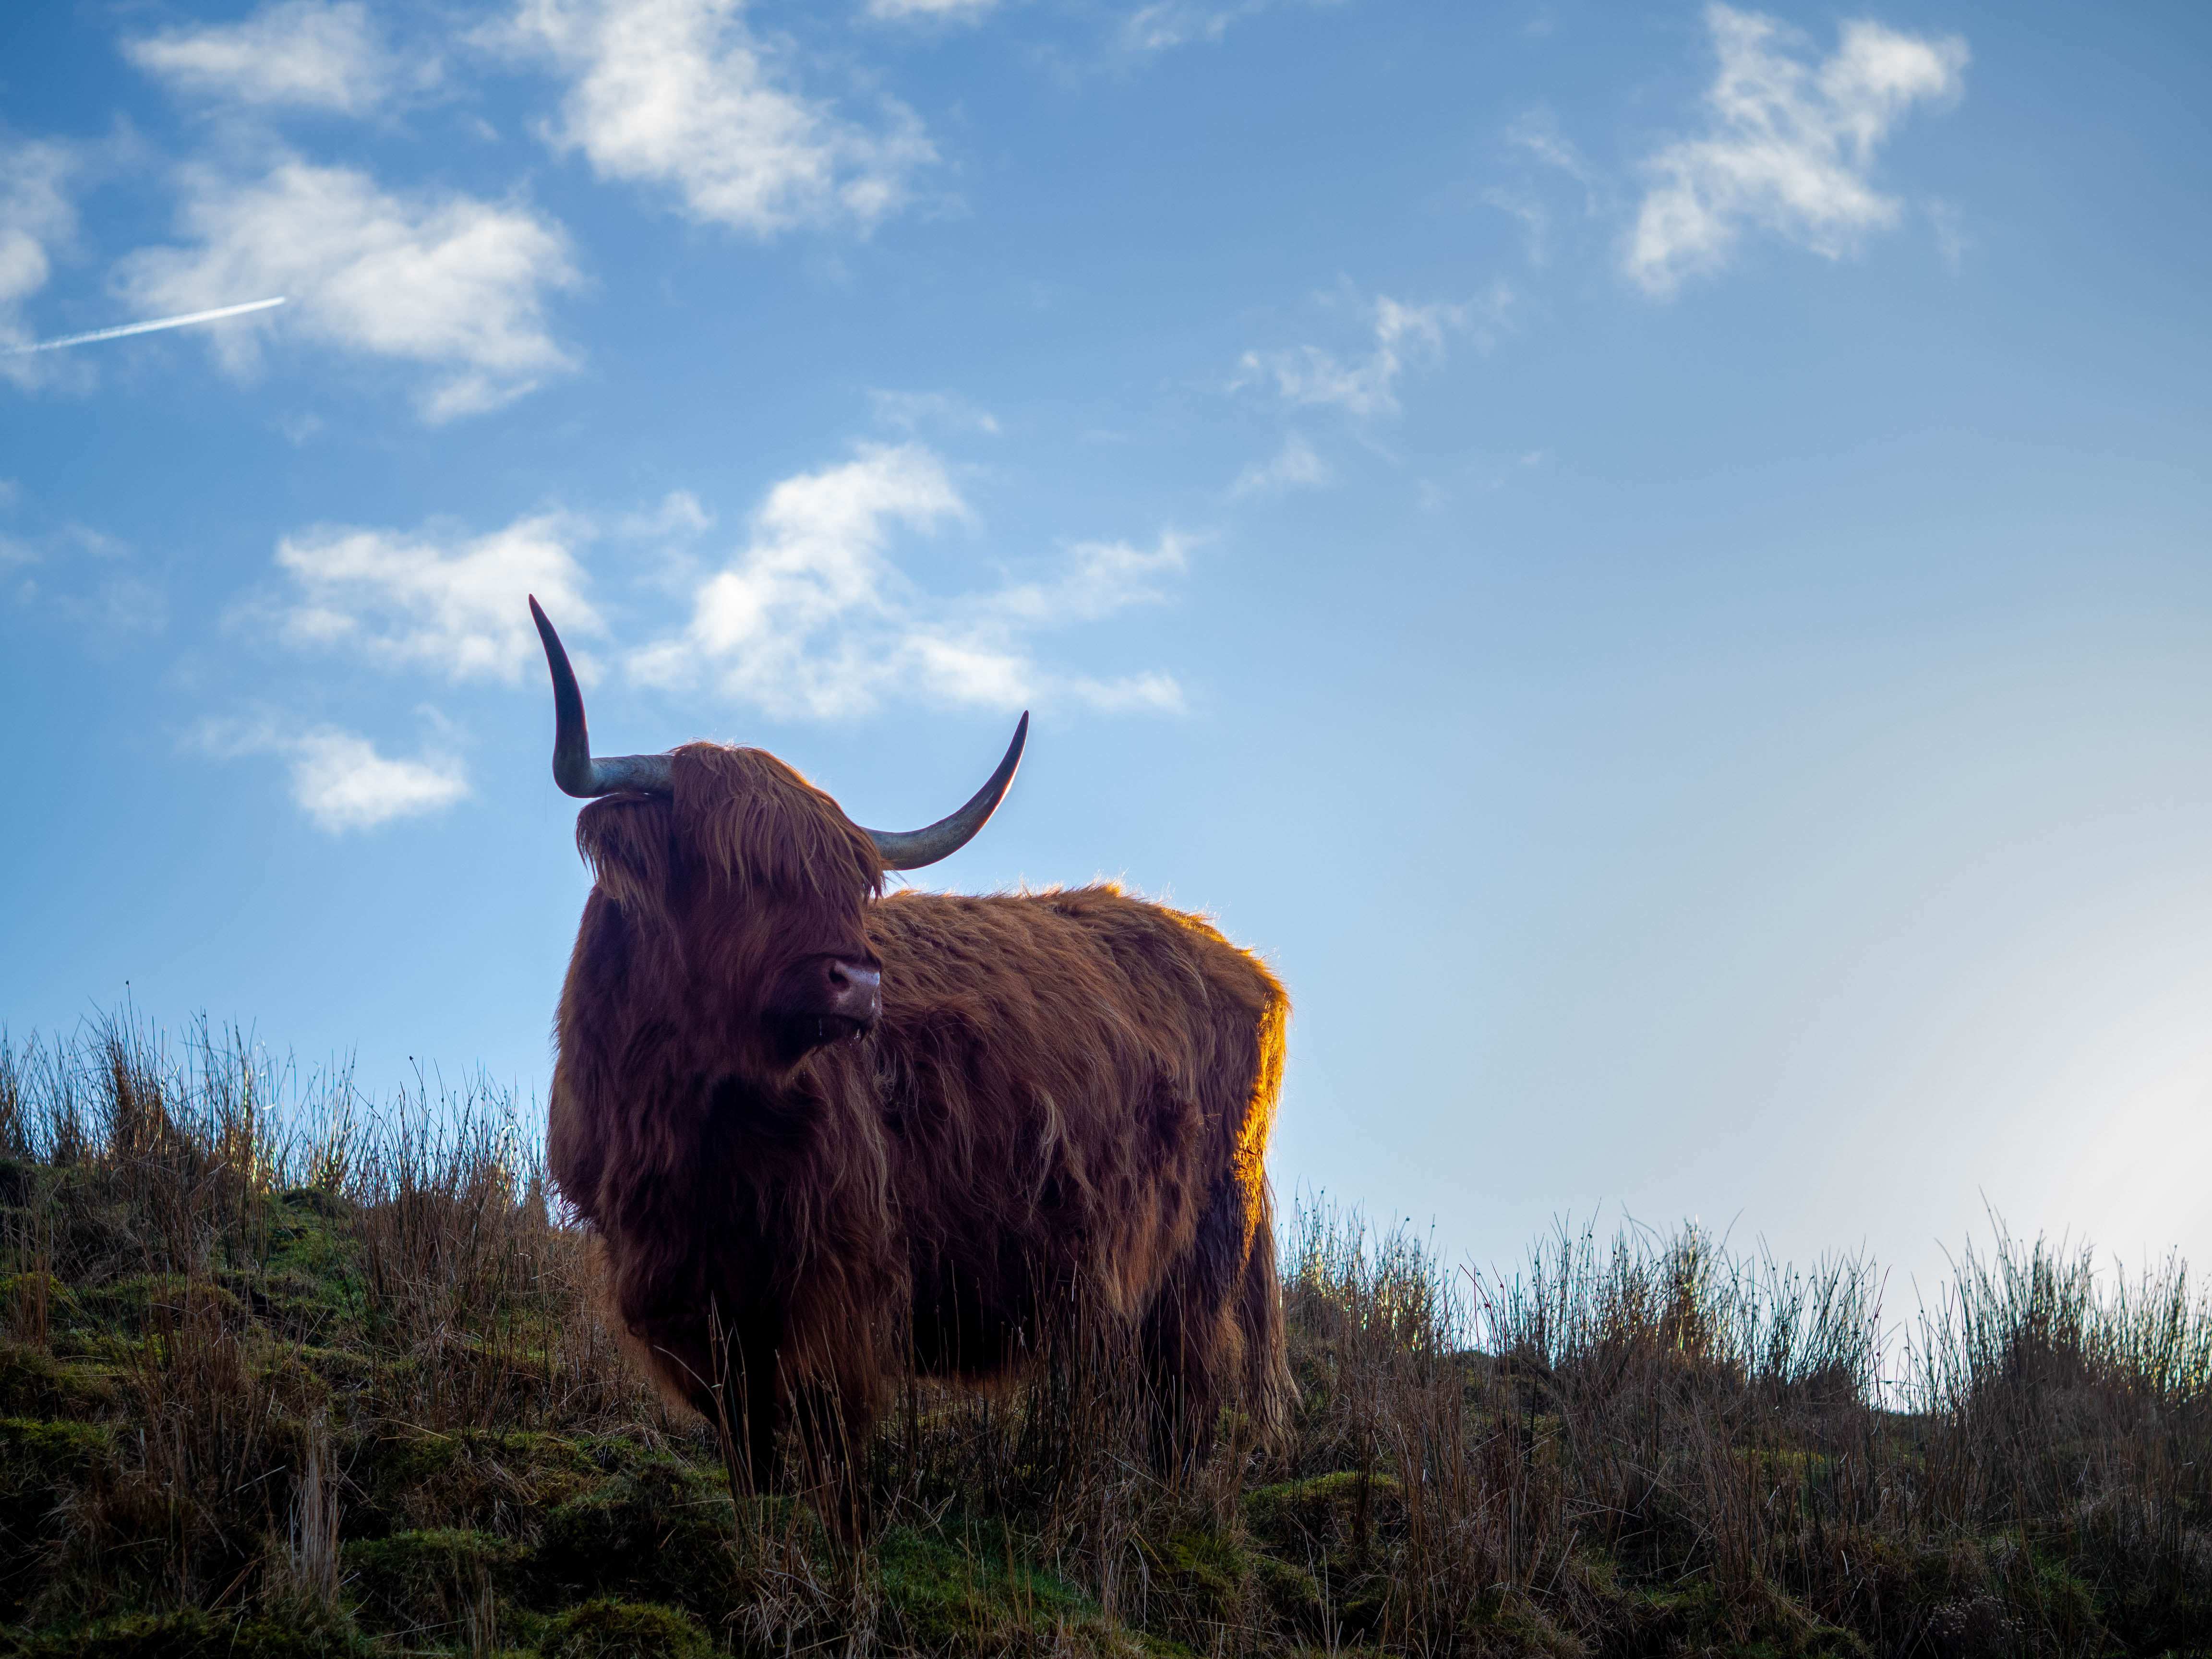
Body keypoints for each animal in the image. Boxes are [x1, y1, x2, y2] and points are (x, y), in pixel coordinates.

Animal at [530, 598, 1292, 1522]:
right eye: (733, 867)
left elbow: (836, 1452)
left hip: (1199, 1256)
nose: (858, 983)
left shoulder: (842, 1282)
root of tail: (1240, 959)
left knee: (1183, 1400)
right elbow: (748, 1450)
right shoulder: (690, 1294)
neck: (688, 1117)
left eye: (854, 885)